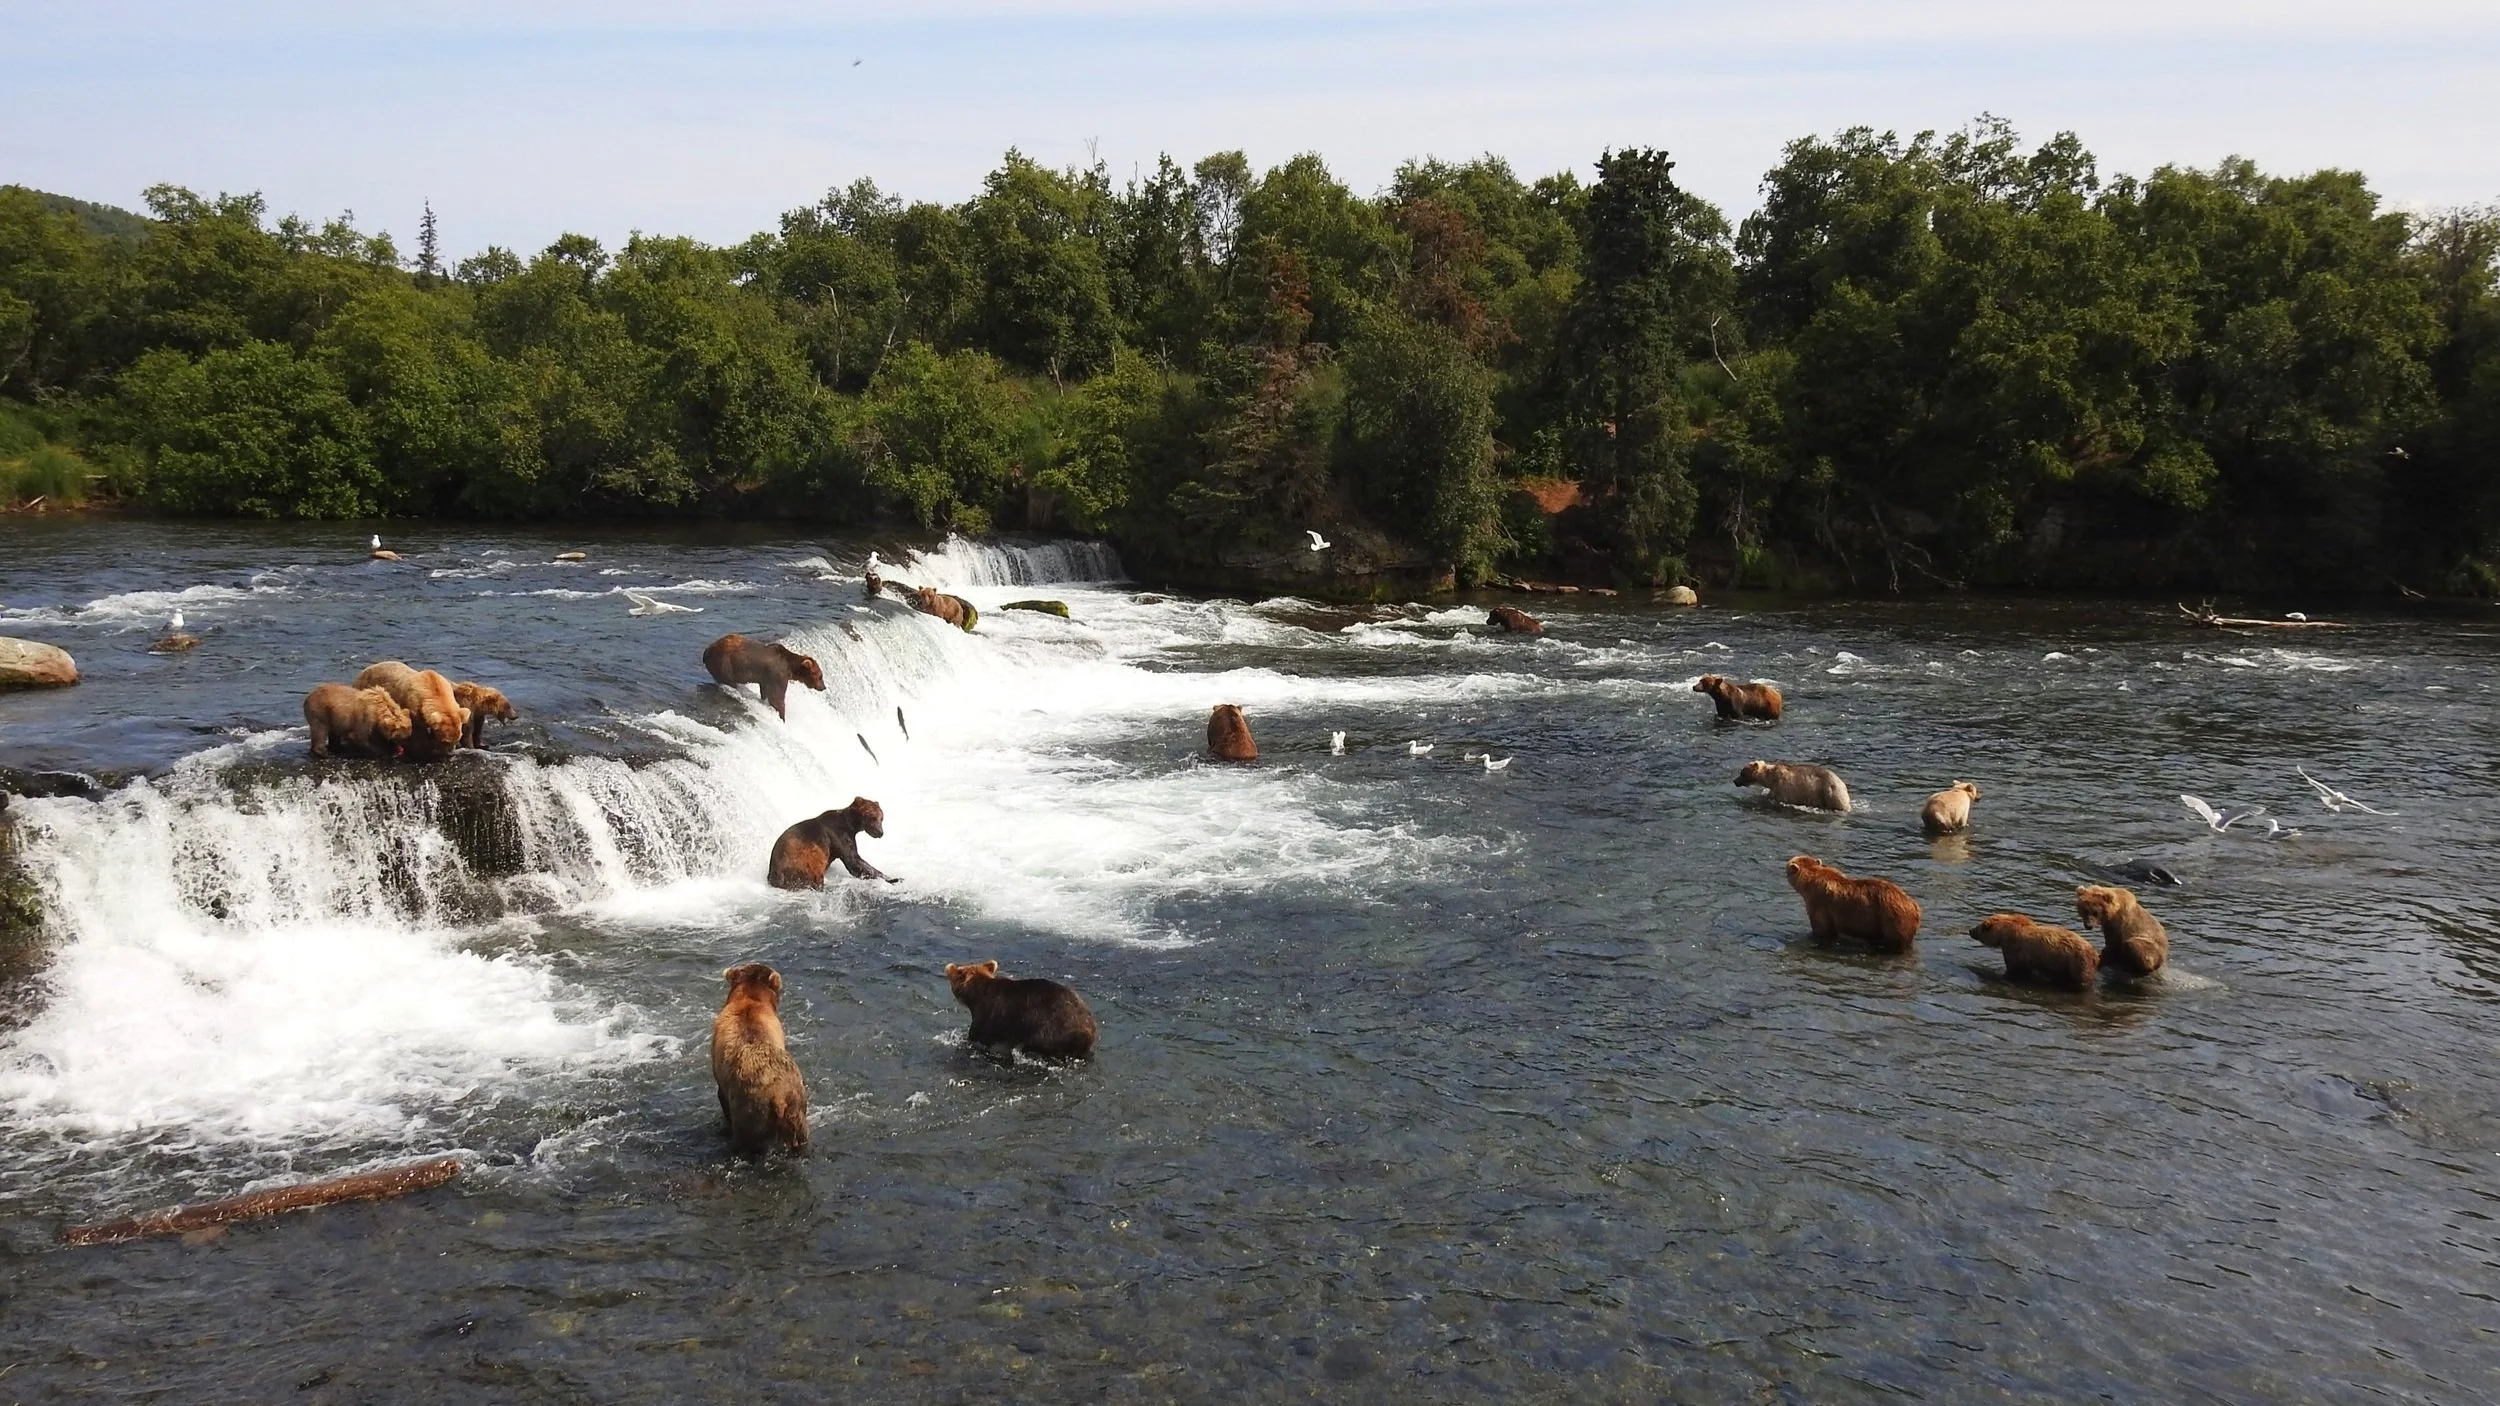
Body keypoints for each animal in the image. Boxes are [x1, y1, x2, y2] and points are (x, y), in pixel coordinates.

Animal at [766, 798, 894, 888]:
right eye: (873, 817)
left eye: (882, 818)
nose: (880, 832)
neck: (851, 825)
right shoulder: (838, 835)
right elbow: (853, 861)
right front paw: (892, 878)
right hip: (801, 860)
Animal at [945, 960, 1098, 1059]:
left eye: (956, 972)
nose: (948, 967)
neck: (977, 996)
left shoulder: (988, 1016)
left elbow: (978, 1036)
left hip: (1052, 1028)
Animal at [1969, 912, 2099, 990]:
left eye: (1979, 926)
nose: (1970, 930)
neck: (2003, 933)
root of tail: (2095, 955)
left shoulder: (2015, 949)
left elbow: (2014, 969)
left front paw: (2004, 976)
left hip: (2077, 962)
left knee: (2081, 980)